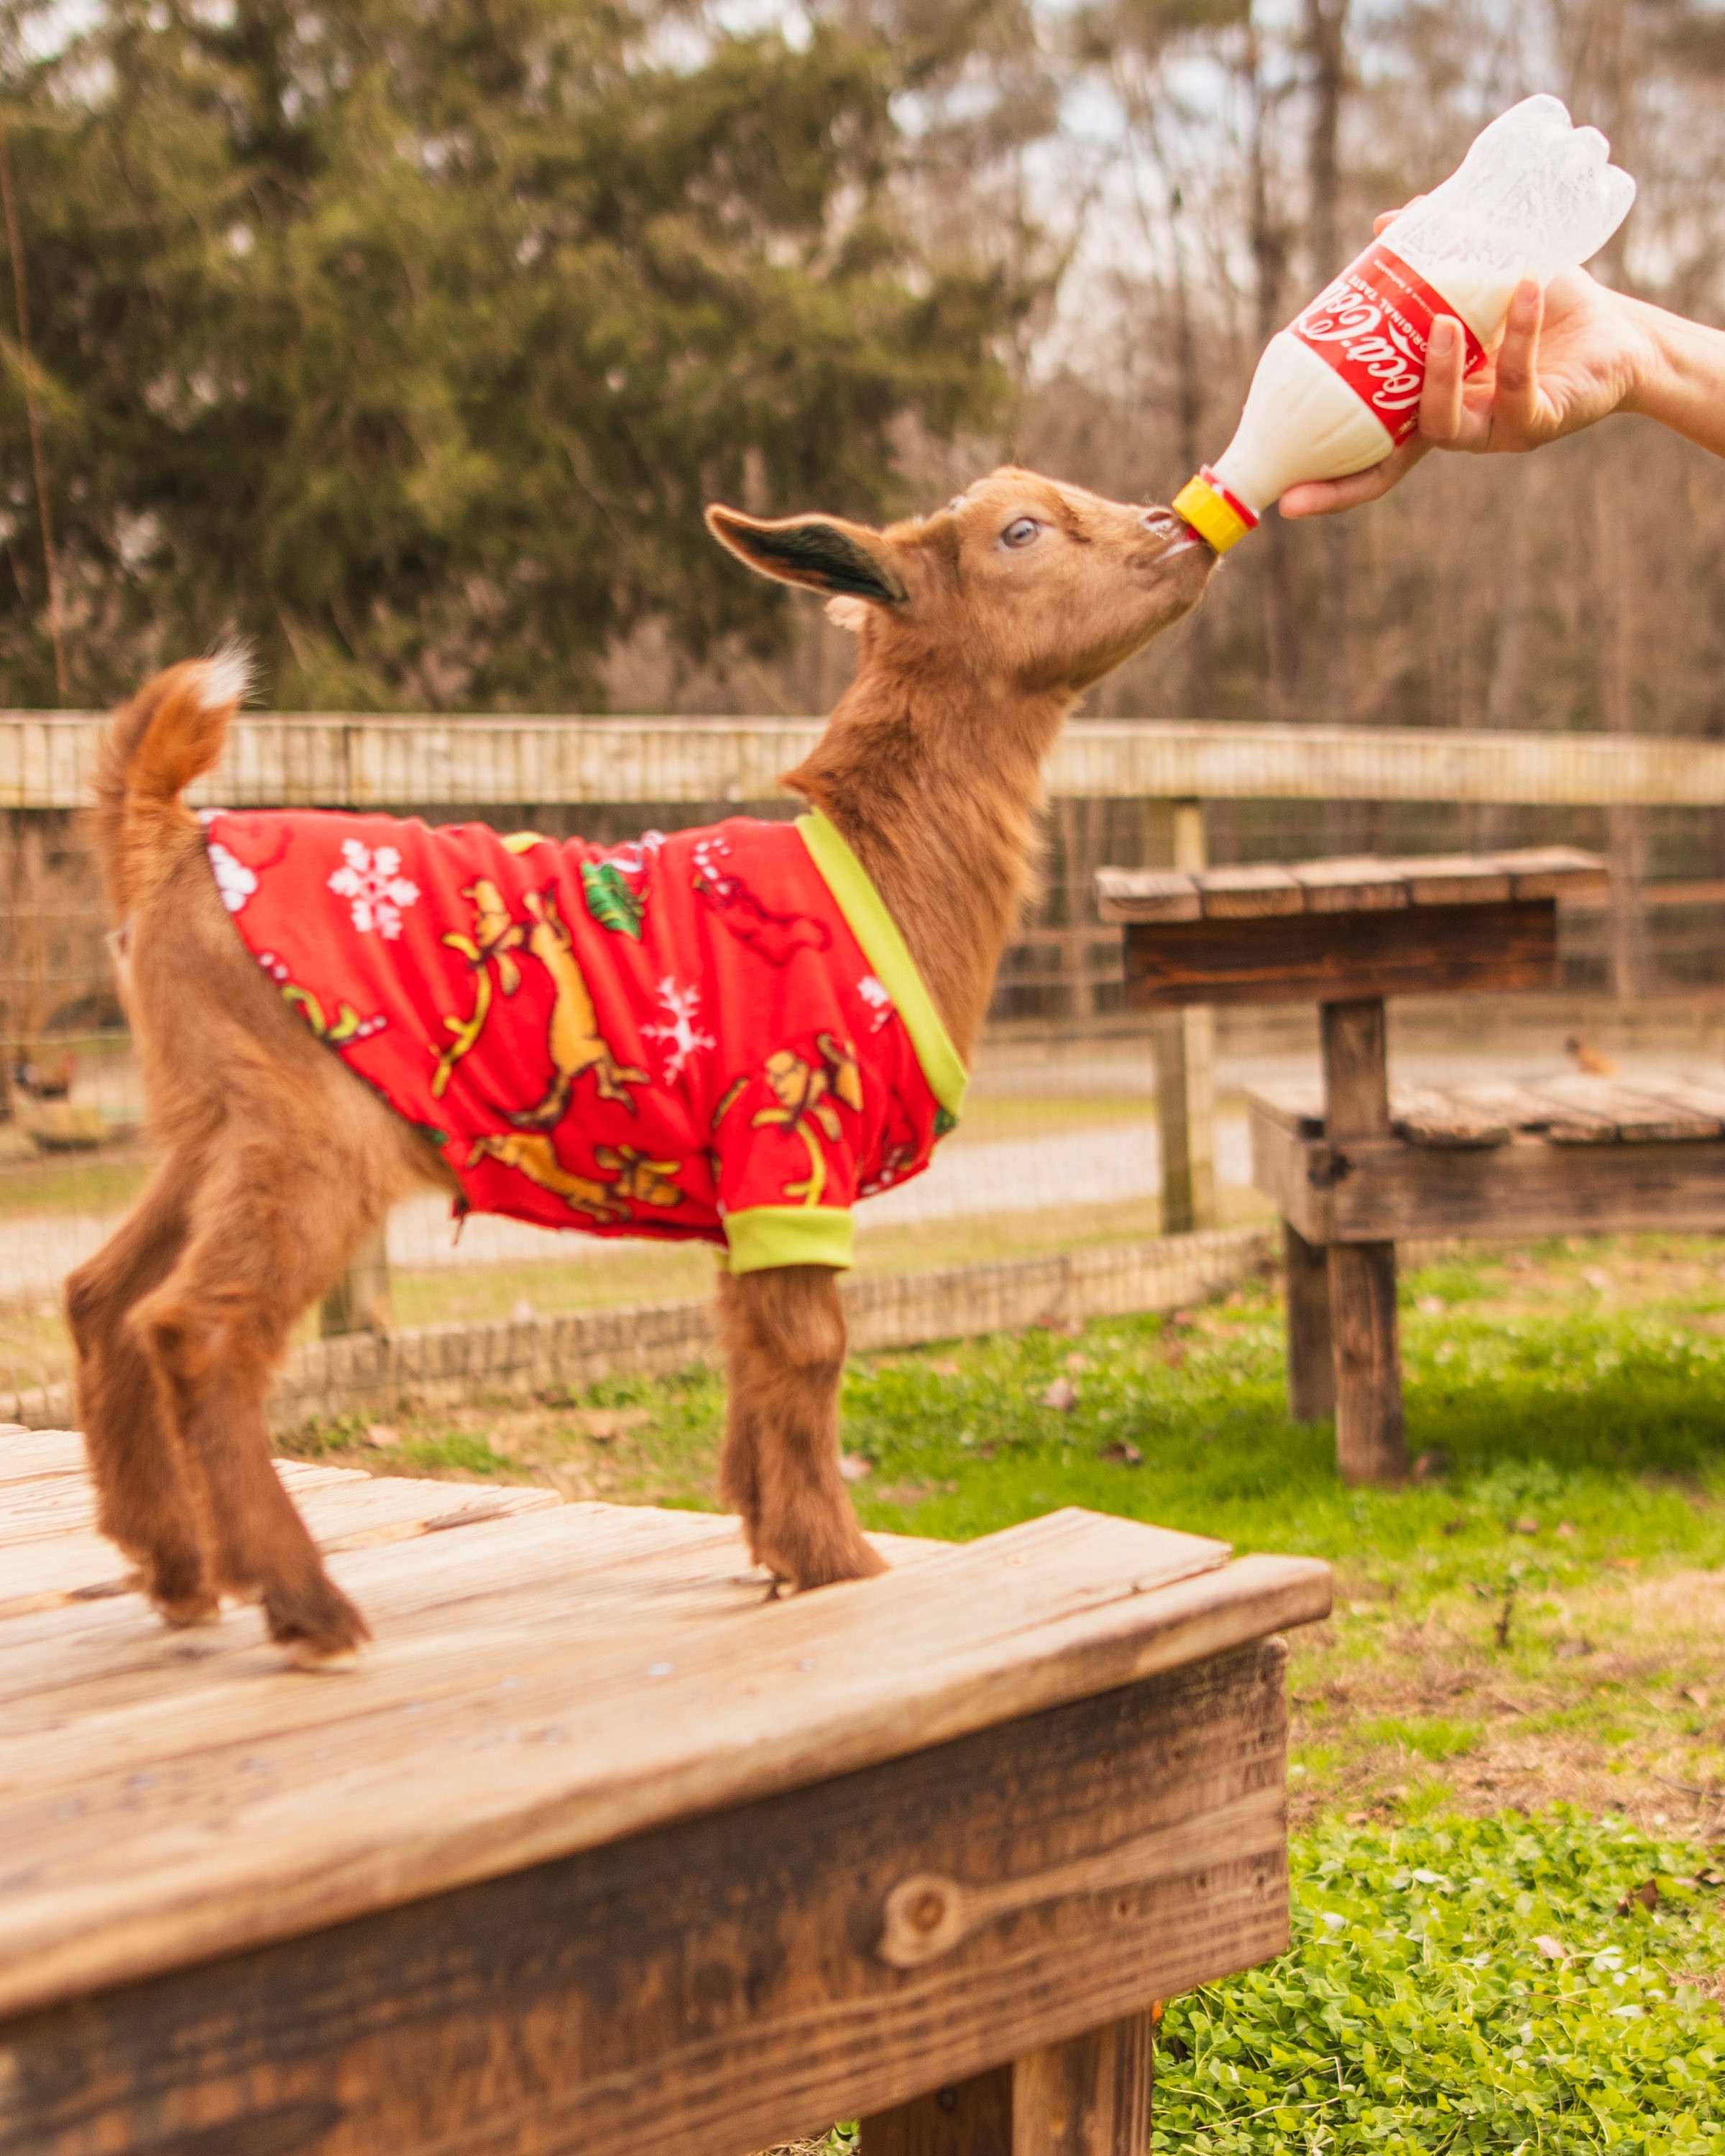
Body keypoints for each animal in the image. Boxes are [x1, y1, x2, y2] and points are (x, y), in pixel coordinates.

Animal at [72, 470, 1212, 1664]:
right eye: (1021, 532)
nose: (1175, 528)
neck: (874, 878)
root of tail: (164, 840)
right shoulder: (785, 1143)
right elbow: (810, 1353)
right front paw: (842, 1562)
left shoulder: (743, 1195)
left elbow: (749, 1355)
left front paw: (776, 1546)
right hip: (312, 1120)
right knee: (199, 1327)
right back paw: (305, 1604)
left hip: (215, 1111)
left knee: (104, 1295)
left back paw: (175, 1571)